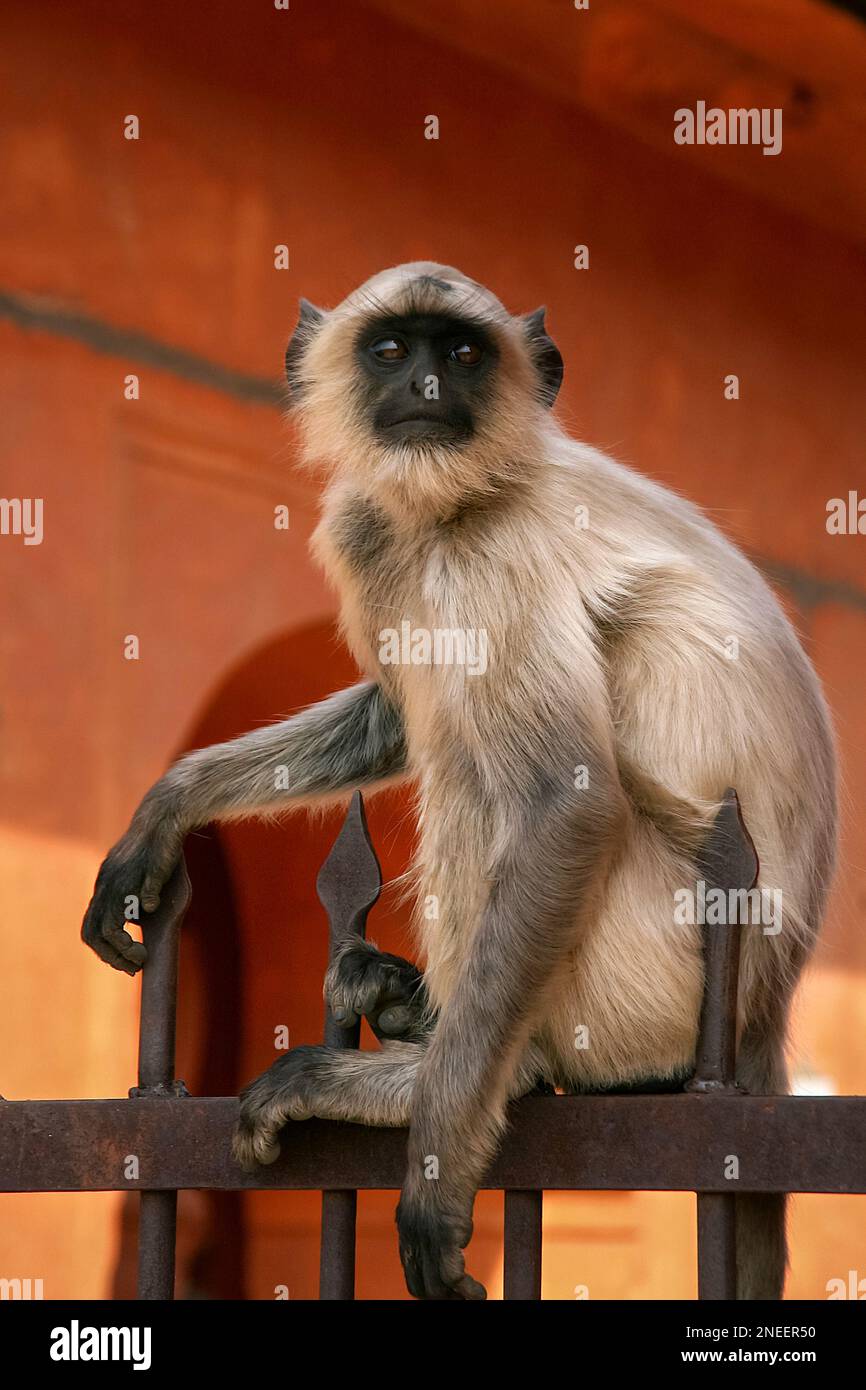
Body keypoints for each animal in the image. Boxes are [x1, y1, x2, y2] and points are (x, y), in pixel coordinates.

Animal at [82, 262, 837, 1301]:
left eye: (466, 352)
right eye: (394, 349)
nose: (430, 388)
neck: (462, 492)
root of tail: (765, 1010)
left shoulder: (493, 550)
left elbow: (565, 801)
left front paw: (436, 1173)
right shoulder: (370, 525)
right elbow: (400, 712)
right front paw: (171, 805)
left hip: (658, 974)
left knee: (486, 775)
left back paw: (448, 1074)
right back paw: (407, 1001)